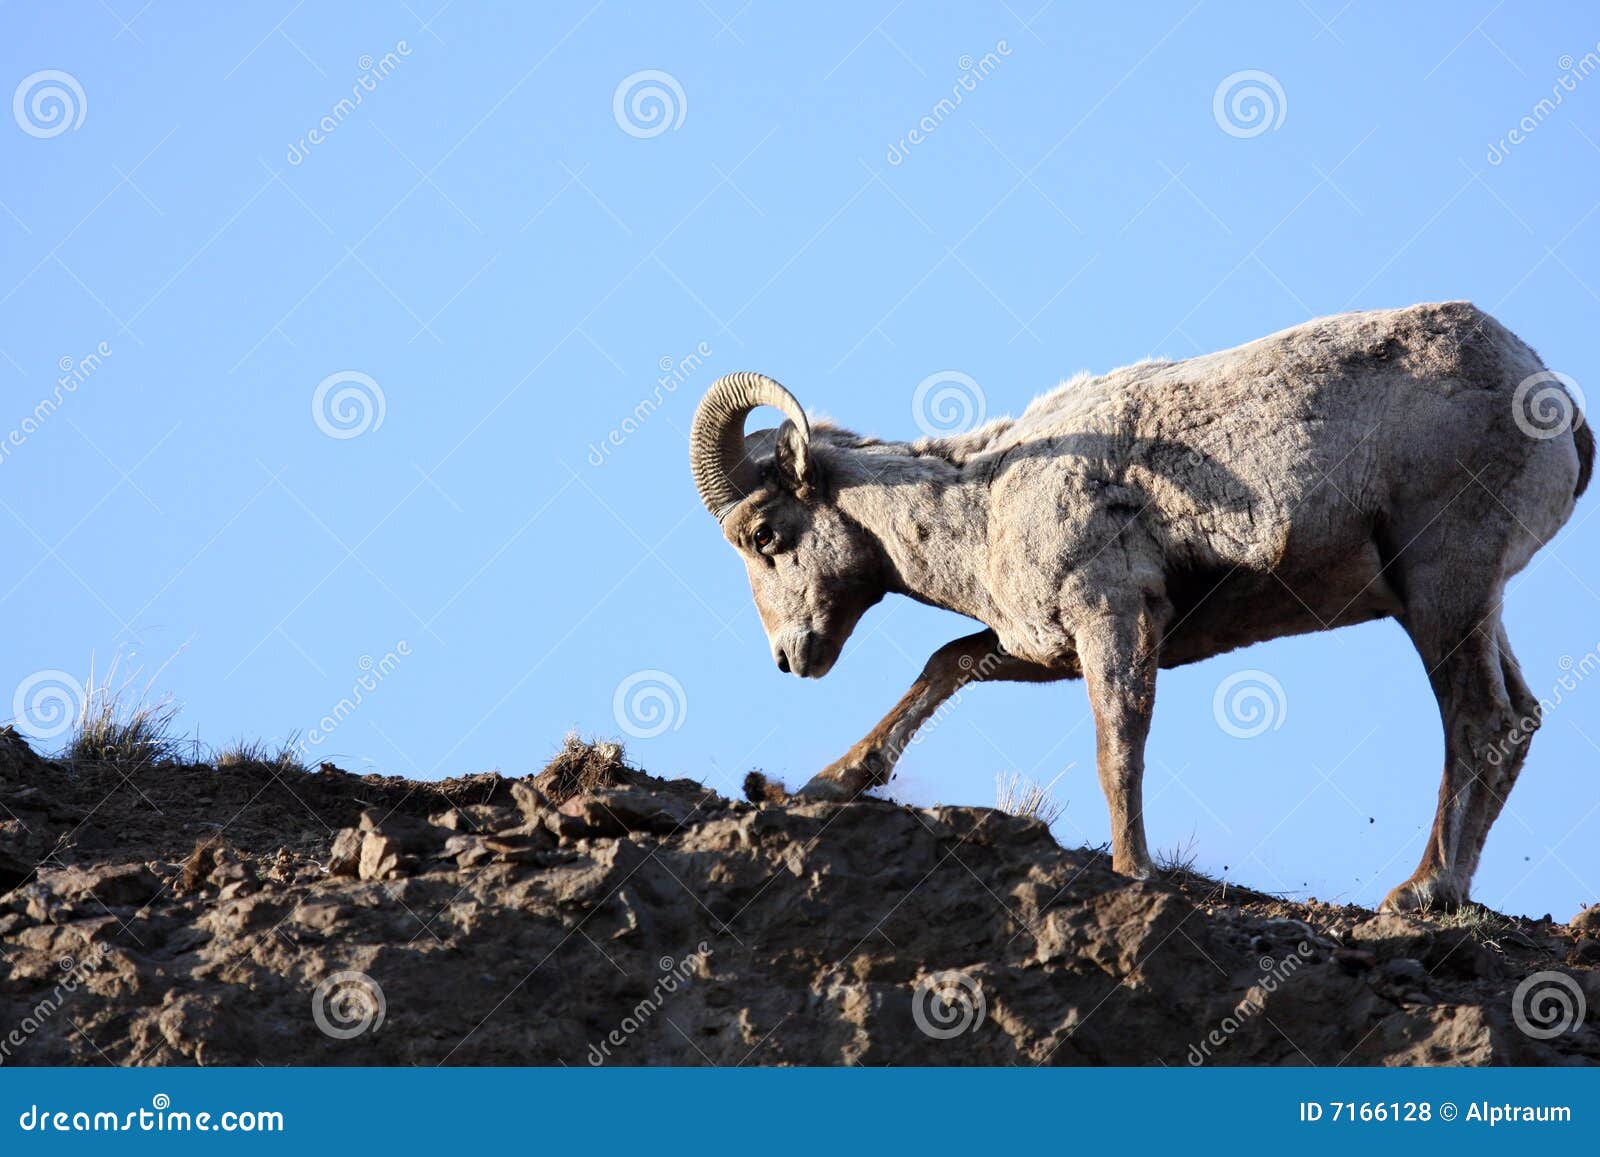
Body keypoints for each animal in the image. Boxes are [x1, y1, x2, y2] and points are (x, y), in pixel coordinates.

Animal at [688, 302, 1593, 912]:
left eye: (765, 534)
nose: (790, 657)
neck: (984, 506)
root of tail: (1557, 404)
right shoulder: (1041, 647)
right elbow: (944, 663)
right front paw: (836, 777)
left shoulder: (1114, 616)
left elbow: (1117, 743)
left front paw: (1133, 868)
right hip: (1463, 601)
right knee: (1518, 717)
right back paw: (1446, 888)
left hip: (1442, 589)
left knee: (1476, 718)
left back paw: (1423, 891)